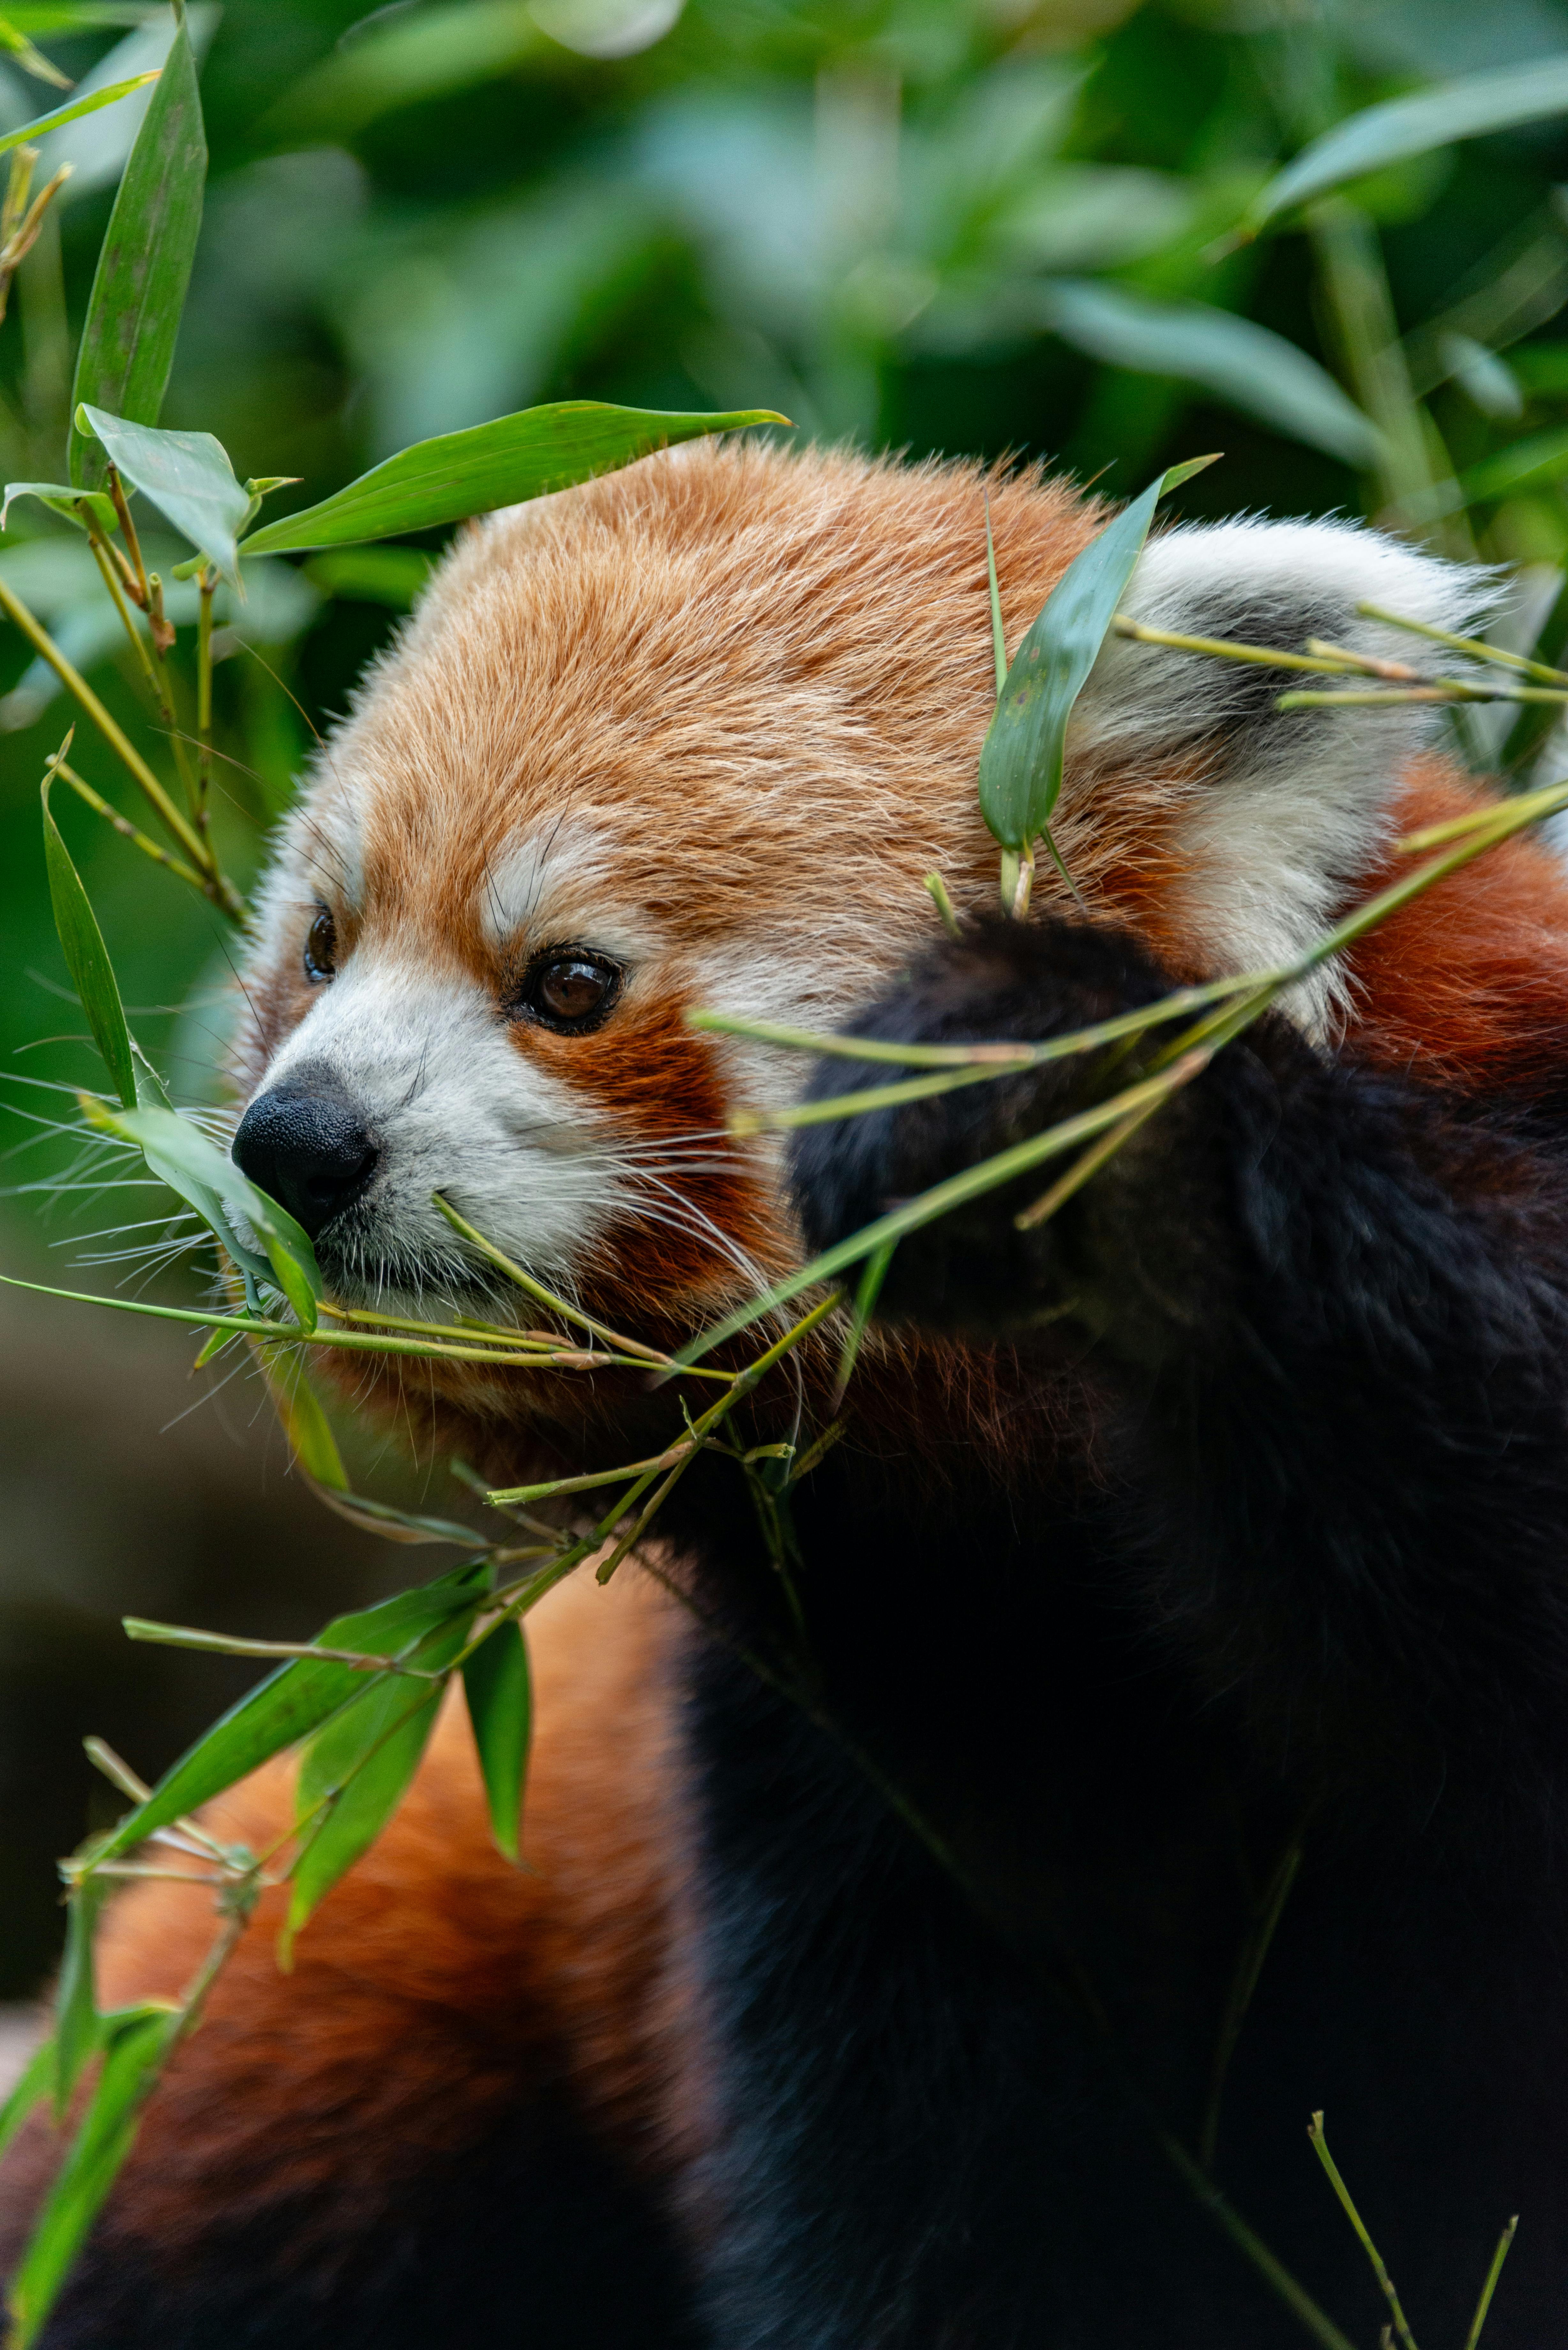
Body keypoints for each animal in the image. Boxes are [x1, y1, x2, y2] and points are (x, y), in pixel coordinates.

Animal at [6, 439, 1568, 2350]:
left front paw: (1053, 1094)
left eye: (569, 982)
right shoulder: (850, 1758)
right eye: (319, 942)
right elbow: (923, 2205)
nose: (294, 1142)